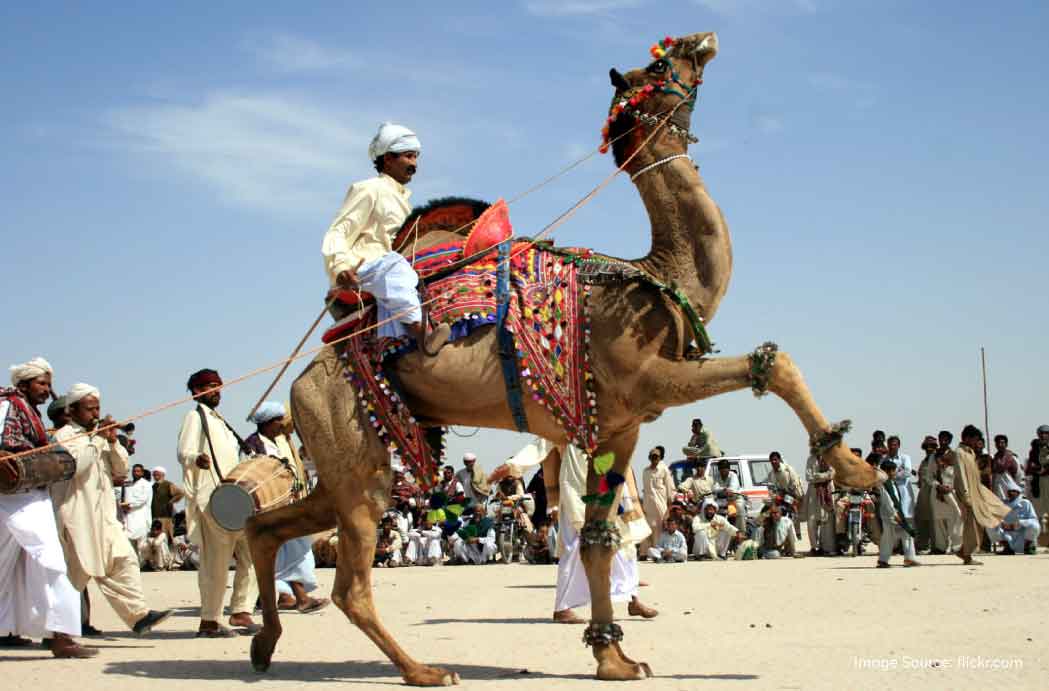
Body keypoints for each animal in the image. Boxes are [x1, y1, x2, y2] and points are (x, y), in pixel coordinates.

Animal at [244, 30, 880, 685]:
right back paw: (424, 670)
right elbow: (773, 362)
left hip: (344, 457)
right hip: (350, 440)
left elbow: (599, 538)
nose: (701, 39)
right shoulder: (648, 378)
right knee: (350, 582)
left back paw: (266, 642)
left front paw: (614, 657)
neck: (657, 276)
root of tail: (298, 383)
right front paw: (858, 470)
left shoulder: (618, 427)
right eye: (658, 63)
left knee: (265, 525)